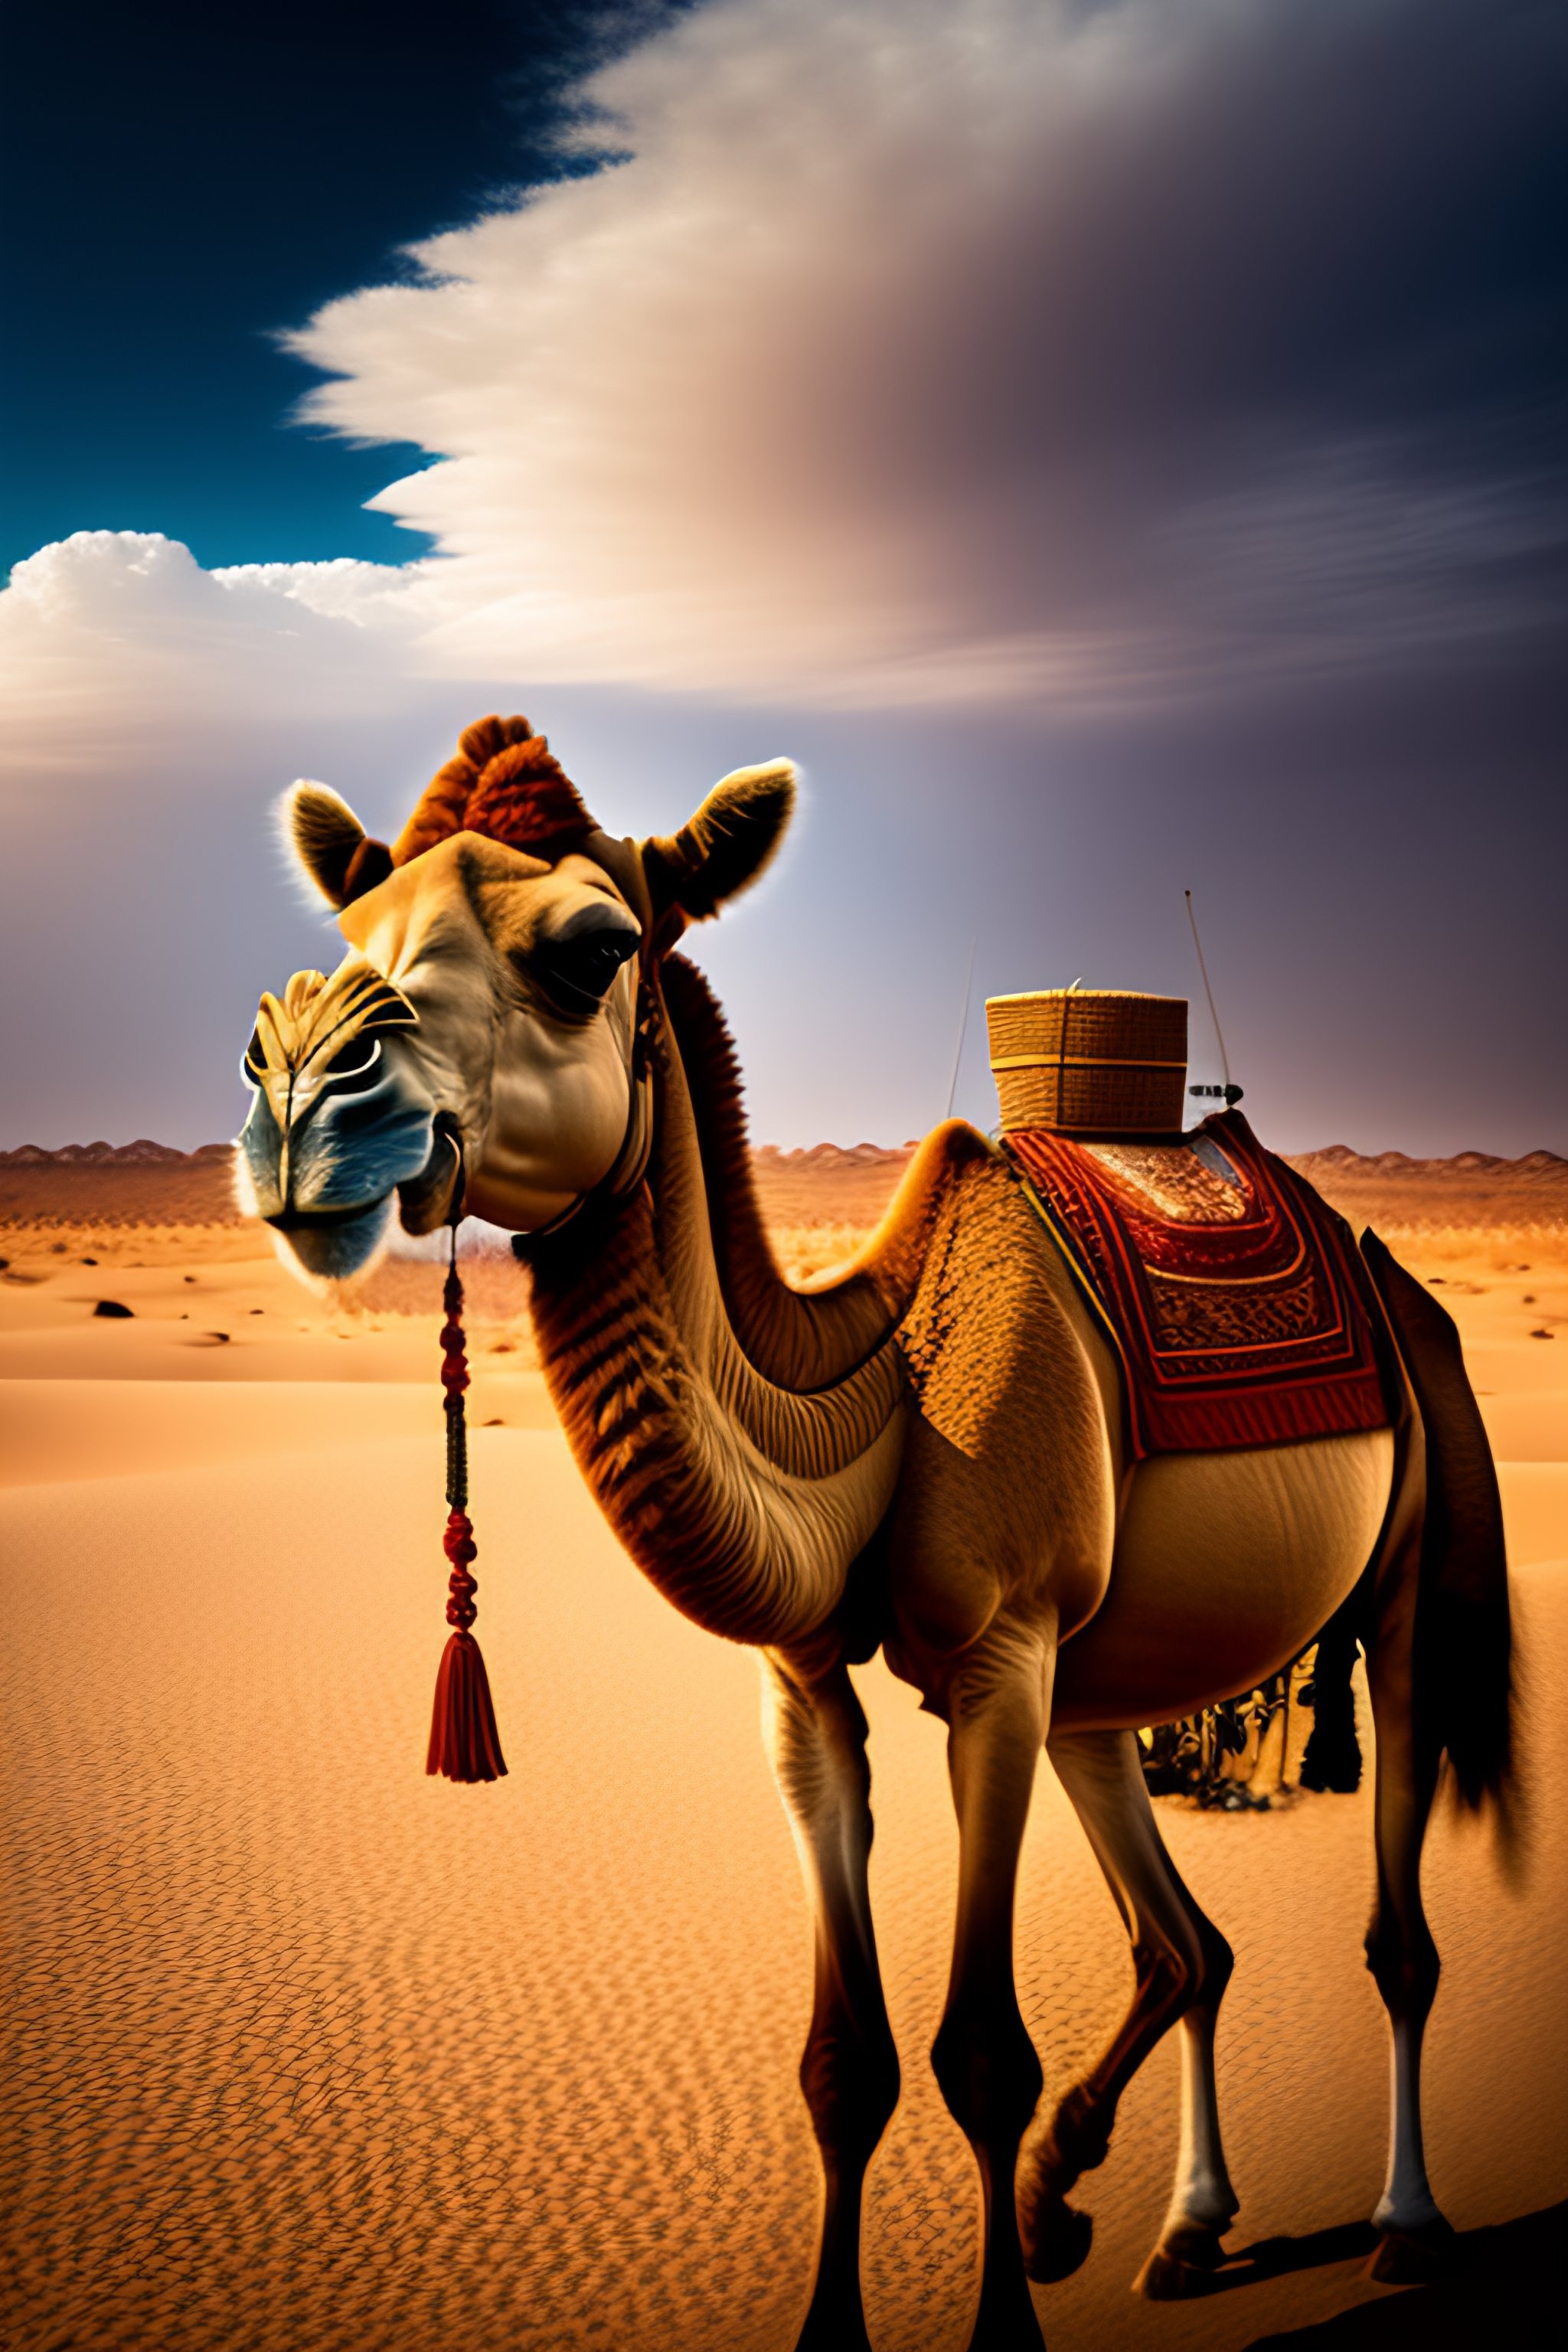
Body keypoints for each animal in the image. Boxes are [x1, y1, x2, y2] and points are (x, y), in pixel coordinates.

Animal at [238, 717, 1513, 2351]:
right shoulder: (805, 1691)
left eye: (592, 948)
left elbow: (980, 2052)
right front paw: (883, 2300)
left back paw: (1401, 2225)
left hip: (1411, 1552)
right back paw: (1164, 2227)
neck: (868, 1384)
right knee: (1188, 1943)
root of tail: (1386, 1277)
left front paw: (1006, 2317)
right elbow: (843, 2061)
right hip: (1101, 1687)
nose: (296, 1096)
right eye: (351, 937)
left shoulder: (996, 1665)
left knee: (1395, 1928)